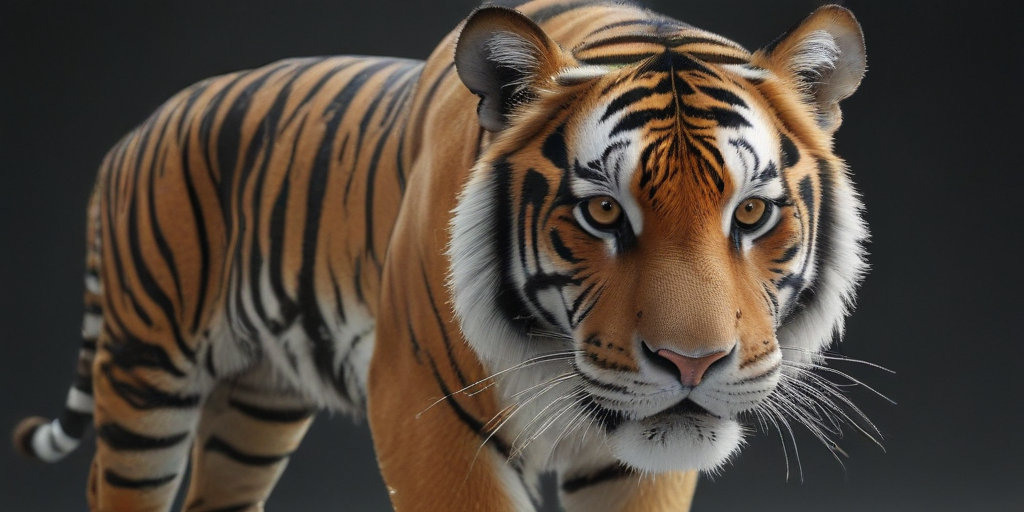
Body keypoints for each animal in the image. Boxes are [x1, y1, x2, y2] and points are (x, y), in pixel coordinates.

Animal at [11, 0, 870, 510]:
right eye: (602, 212)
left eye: (751, 212)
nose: (693, 365)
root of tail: (135, 133)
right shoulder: (428, 420)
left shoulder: (632, 463)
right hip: (147, 371)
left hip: (257, 403)